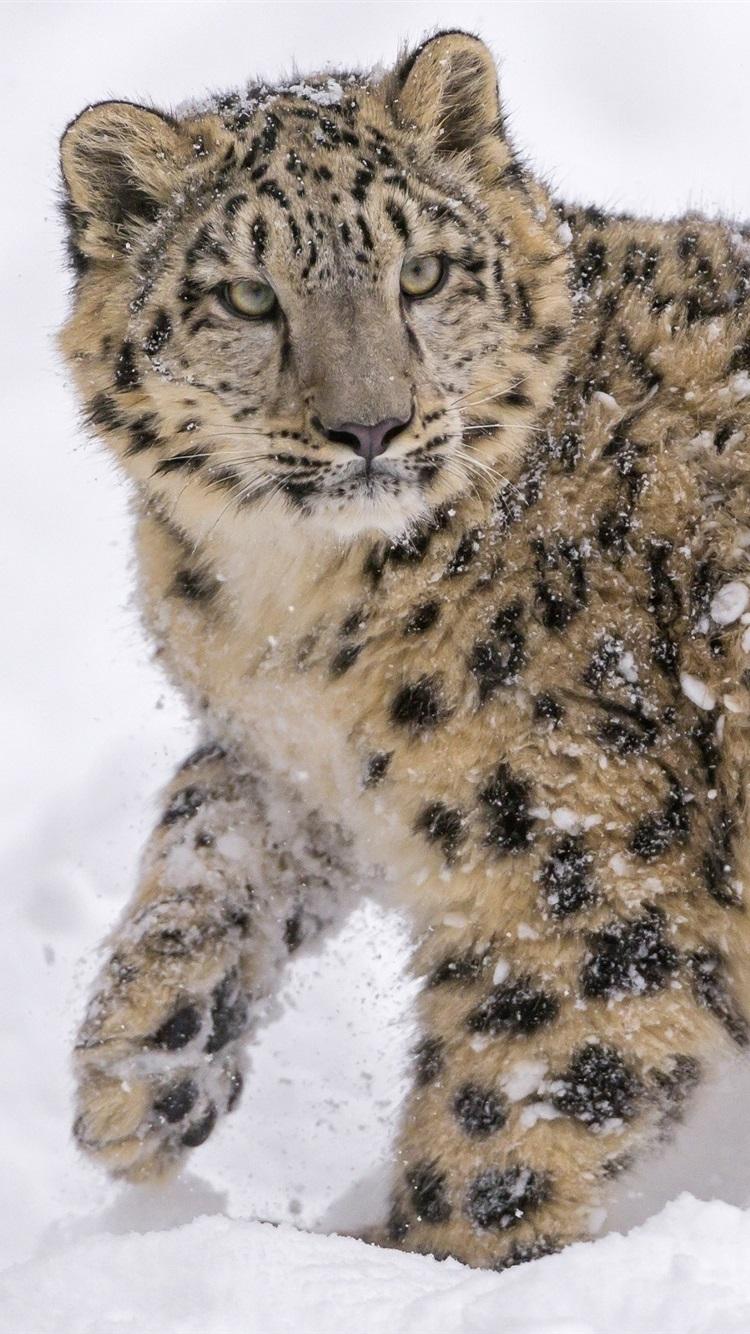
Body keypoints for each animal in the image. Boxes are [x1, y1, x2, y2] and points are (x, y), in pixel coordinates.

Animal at [59, 29, 750, 1270]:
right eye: (247, 295)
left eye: (421, 273)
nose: (370, 425)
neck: (290, 613)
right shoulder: (303, 754)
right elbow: (212, 828)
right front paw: (143, 1066)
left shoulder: (581, 857)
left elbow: (505, 1105)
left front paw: (404, 1266)